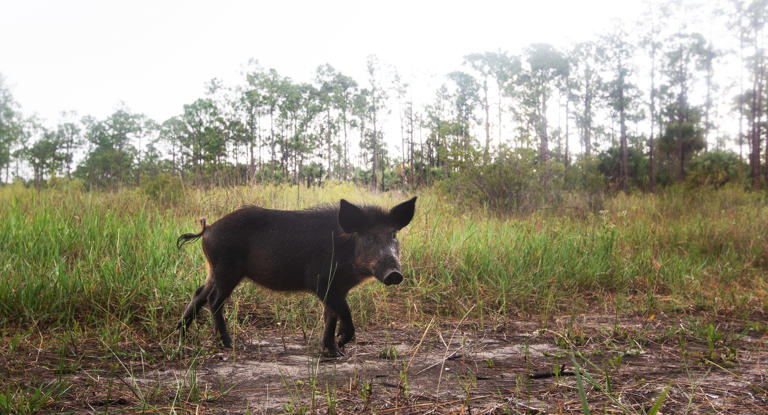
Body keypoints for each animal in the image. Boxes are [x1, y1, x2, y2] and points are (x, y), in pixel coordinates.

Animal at [176, 197, 417, 356]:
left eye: (393, 235)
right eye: (368, 238)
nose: (394, 274)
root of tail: (208, 229)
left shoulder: (337, 288)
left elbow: (330, 316)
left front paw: (334, 352)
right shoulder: (321, 282)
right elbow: (343, 313)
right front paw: (341, 343)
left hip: (214, 271)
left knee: (199, 294)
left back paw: (180, 334)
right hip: (227, 270)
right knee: (213, 300)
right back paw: (230, 345)